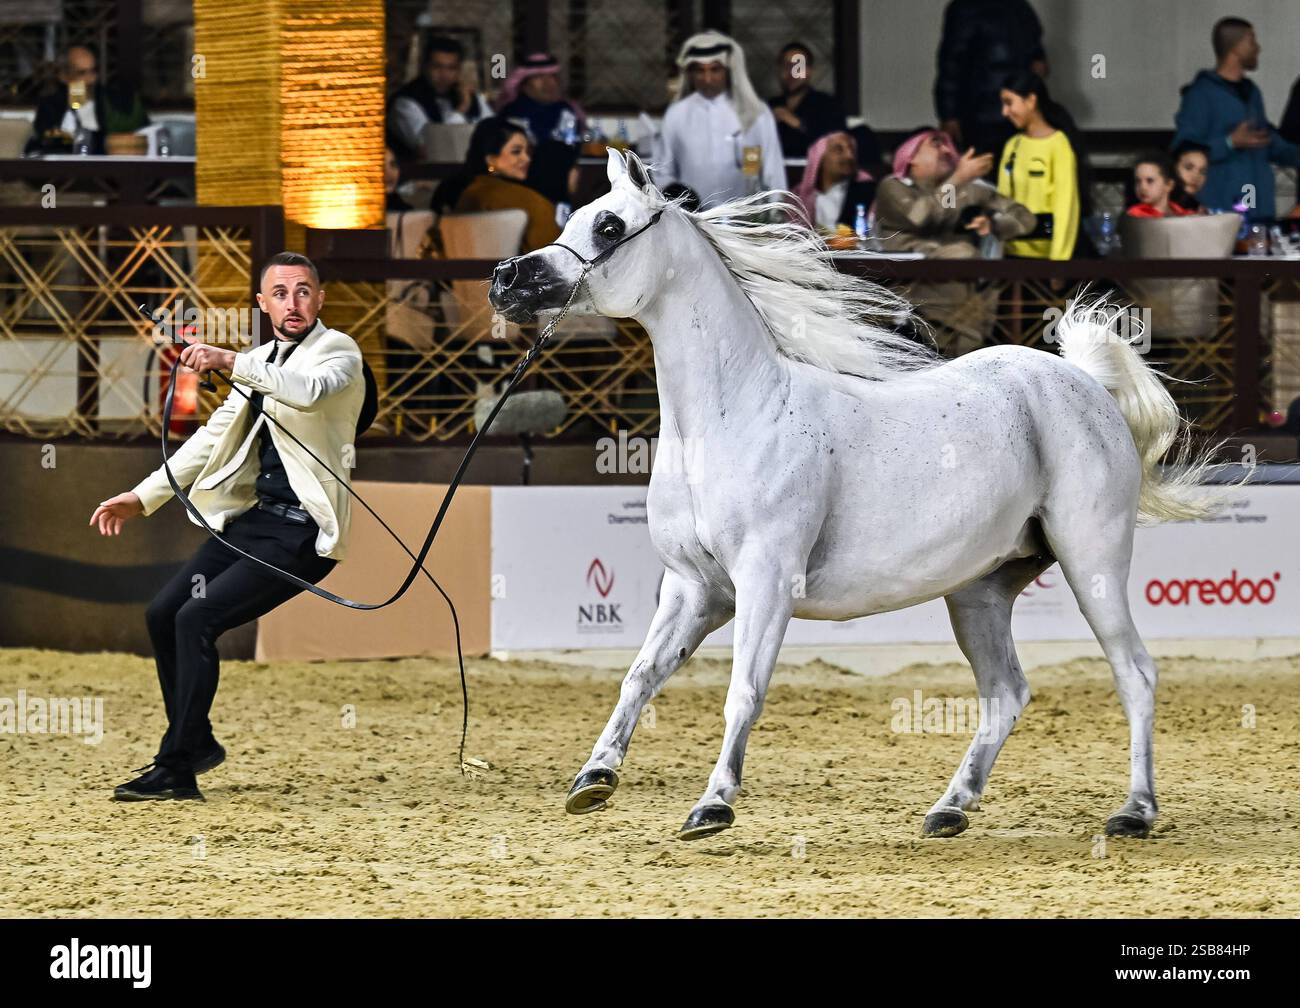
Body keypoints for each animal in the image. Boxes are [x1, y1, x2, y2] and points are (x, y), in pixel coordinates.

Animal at [489, 149, 1225, 842]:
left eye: (609, 226)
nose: (506, 280)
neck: (735, 416)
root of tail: (1084, 383)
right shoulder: (694, 588)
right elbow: (640, 676)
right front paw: (594, 777)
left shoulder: (765, 582)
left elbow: (743, 691)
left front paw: (712, 805)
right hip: (980, 590)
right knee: (1005, 693)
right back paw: (950, 809)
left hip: (1092, 564)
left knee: (1134, 673)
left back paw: (1134, 812)